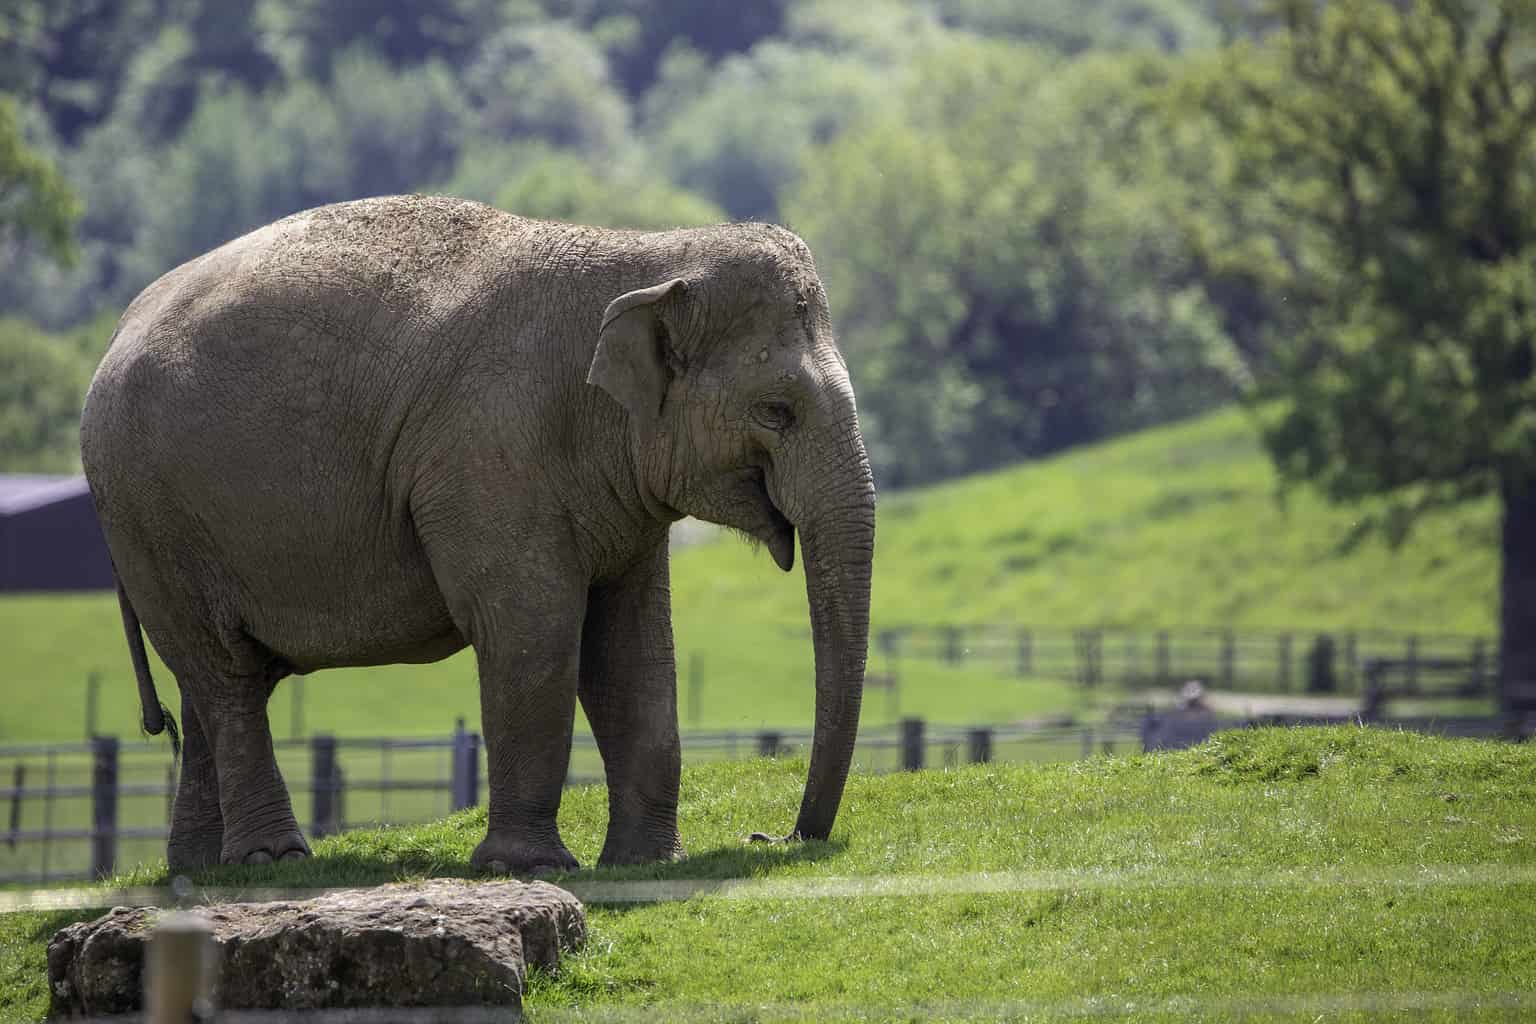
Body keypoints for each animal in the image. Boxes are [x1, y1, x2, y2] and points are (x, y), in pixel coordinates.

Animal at [80, 194, 875, 873]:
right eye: (776, 412)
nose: (776, 835)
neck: (647, 253)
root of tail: (116, 328)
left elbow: (633, 649)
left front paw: (647, 864)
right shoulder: (490, 455)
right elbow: (532, 631)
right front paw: (529, 869)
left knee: (205, 685)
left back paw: (201, 871)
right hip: (148, 514)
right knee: (225, 676)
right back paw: (272, 862)